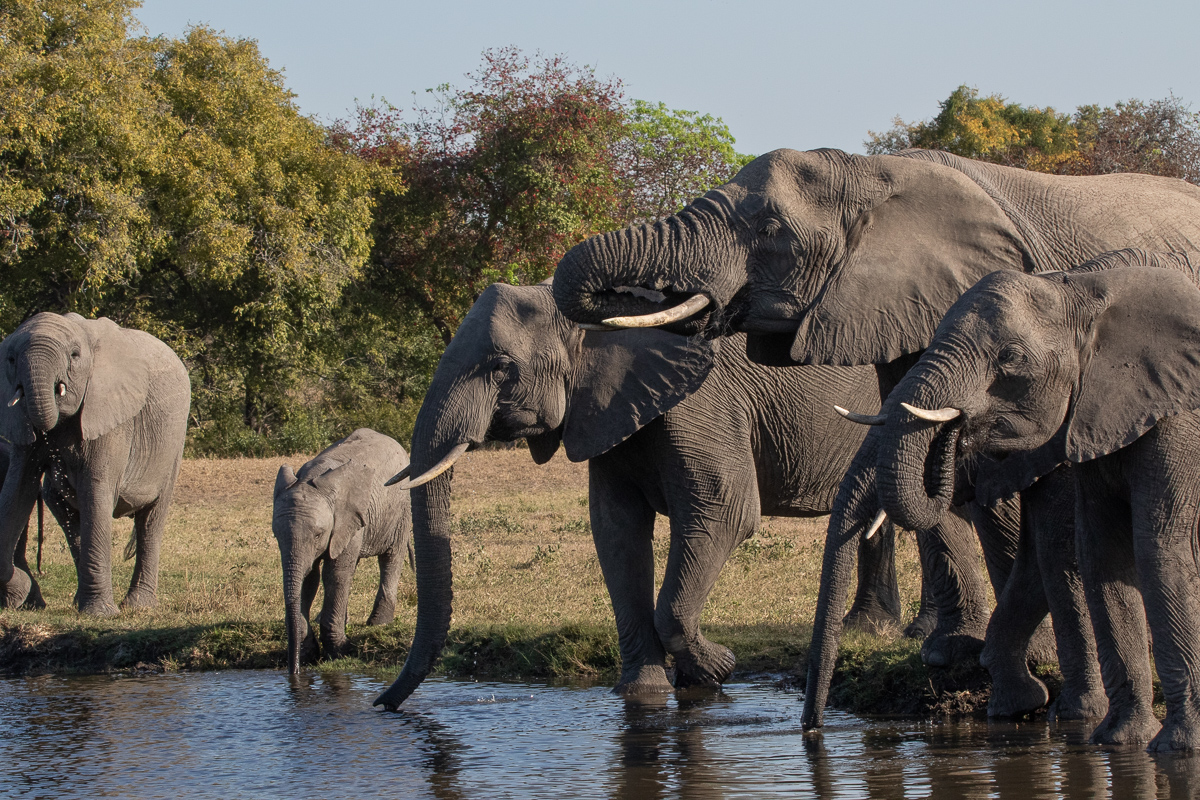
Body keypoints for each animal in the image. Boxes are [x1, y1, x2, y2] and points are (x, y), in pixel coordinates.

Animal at [0, 312, 190, 615]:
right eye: (10, 359)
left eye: (74, 355)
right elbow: (15, 494)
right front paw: (22, 592)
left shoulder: (111, 414)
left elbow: (95, 492)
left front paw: (101, 614)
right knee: (66, 515)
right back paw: (80, 602)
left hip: (173, 443)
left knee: (151, 521)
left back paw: (138, 607)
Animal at [273, 428, 414, 674]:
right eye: (276, 536)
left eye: (318, 534)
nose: (294, 670)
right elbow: (309, 579)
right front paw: (309, 653)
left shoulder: (349, 517)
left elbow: (334, 575)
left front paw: (339, 651)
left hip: (402, 507)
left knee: (391, 557)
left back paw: (379, 622)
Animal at [373, 281, 903, 709]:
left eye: (503, 368)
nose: (382, 704)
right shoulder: (606, 409)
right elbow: (617, 531)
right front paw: (645, 692)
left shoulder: (702, 402)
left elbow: (725, 512)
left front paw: (718, 668)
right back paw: (869, 629)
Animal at [875, 260, 1200, 751]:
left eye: (1010, 357)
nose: (956, 428)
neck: (1089, 292)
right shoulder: (1092, 419)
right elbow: (1099, 553)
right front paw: (1117, 738)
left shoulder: (1176, 417)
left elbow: (1156, 547)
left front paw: (1176, 747)